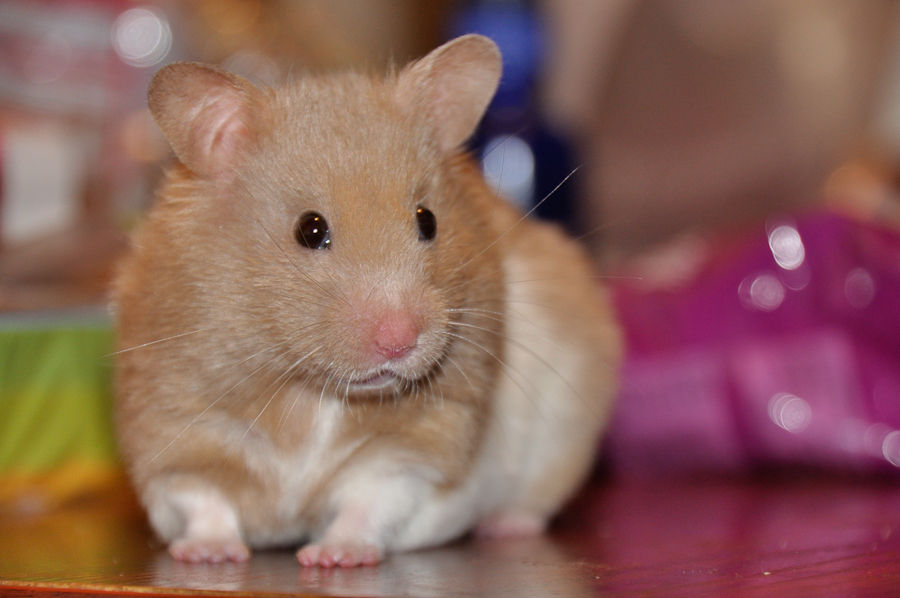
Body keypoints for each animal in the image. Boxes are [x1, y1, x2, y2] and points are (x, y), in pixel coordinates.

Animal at [113, 34, 621, 568]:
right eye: (310, 229)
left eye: (427, 220)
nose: (400, 342)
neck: (309, 391)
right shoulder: (178, 433)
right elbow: (203, 499)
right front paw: (207, 554)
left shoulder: (412, 453)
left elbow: (369, 503)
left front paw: (332, 557)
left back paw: (503, 528)